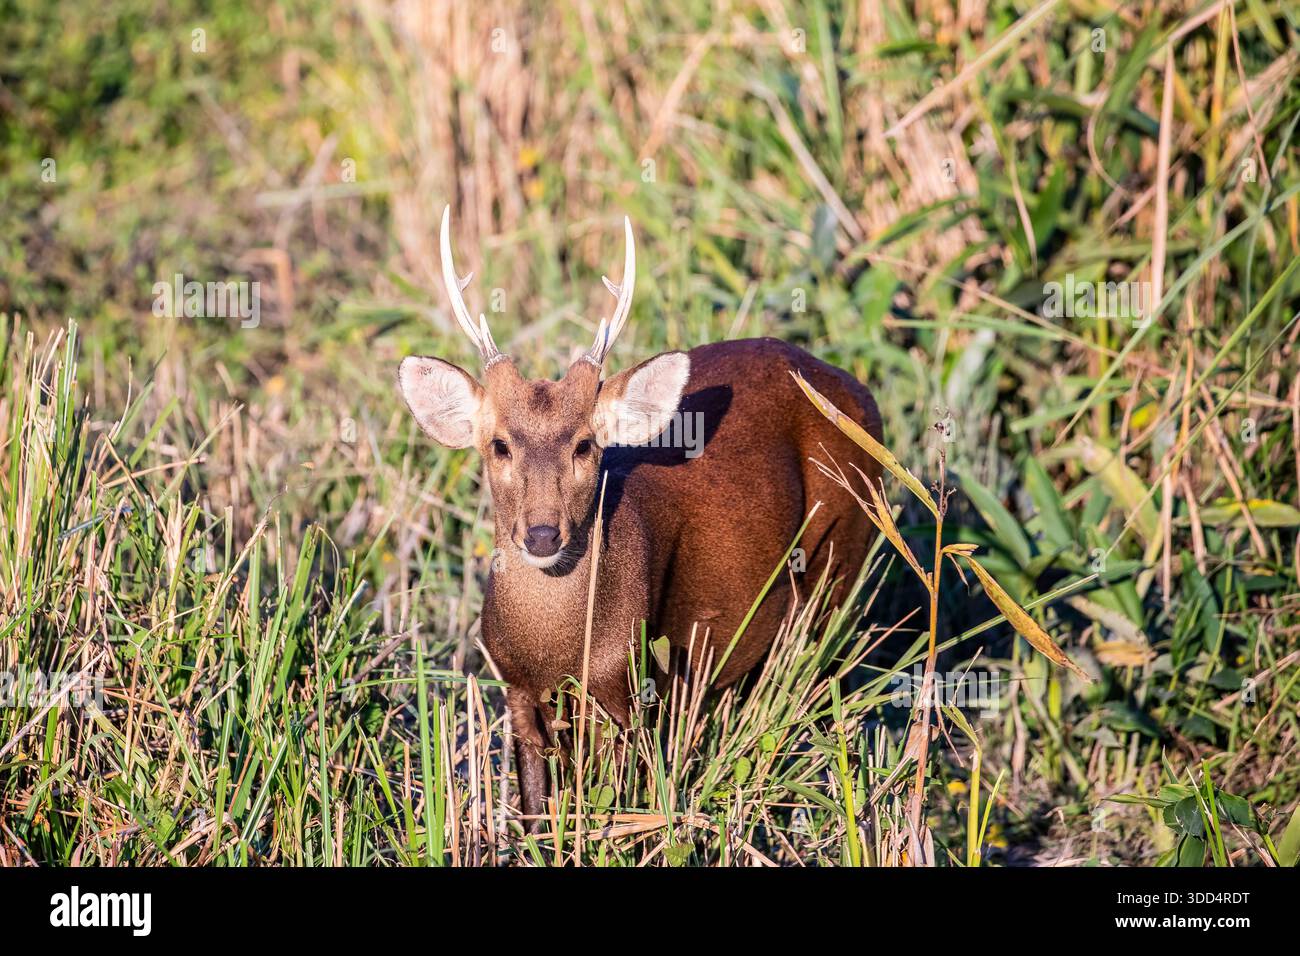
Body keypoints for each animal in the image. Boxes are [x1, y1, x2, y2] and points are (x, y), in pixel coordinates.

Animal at [399, 207, 883, 830]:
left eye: (585, 444)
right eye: (499, 445)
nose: (542, 534)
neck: (557, 648)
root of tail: (863, 394)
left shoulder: (626, 684)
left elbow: (617, 808)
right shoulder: (514, 688)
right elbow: (534, 811)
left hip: (840, 563)